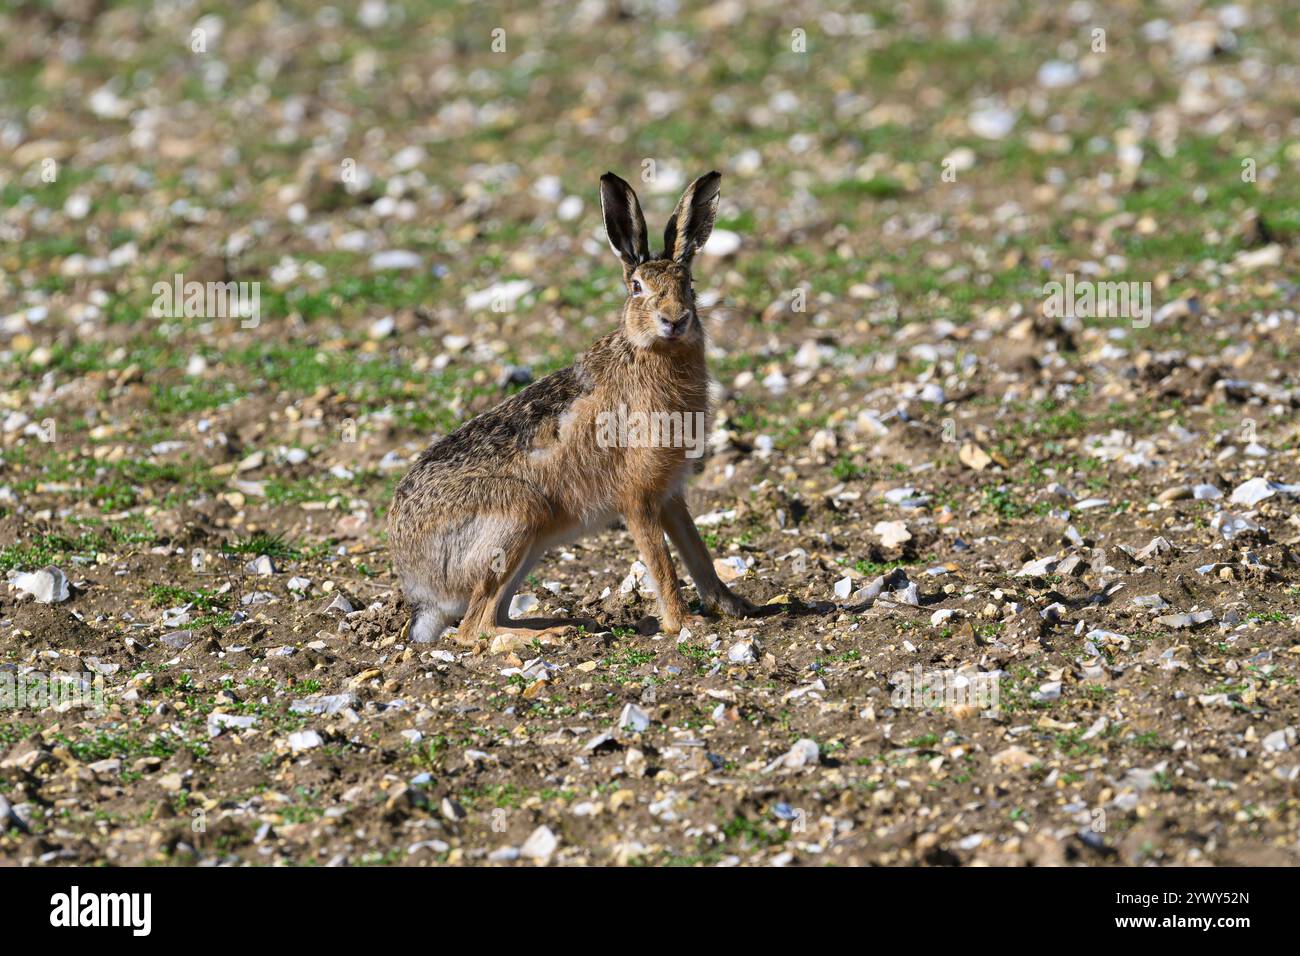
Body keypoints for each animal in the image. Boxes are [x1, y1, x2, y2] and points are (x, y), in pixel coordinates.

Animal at [388, 170, 757, 644]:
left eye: (689, 287)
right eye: (636, 288)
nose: (675, 320)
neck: (648, 352)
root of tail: (420, 589)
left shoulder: (671, 493)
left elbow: (698, 554)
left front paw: (734, 606)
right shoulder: (638, 497)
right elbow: (663, 565)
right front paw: (683, 624)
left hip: (531, 542)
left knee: (493, 615)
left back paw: (568, 623)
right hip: (516, 516)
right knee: (474, 629)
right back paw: (553, 634)